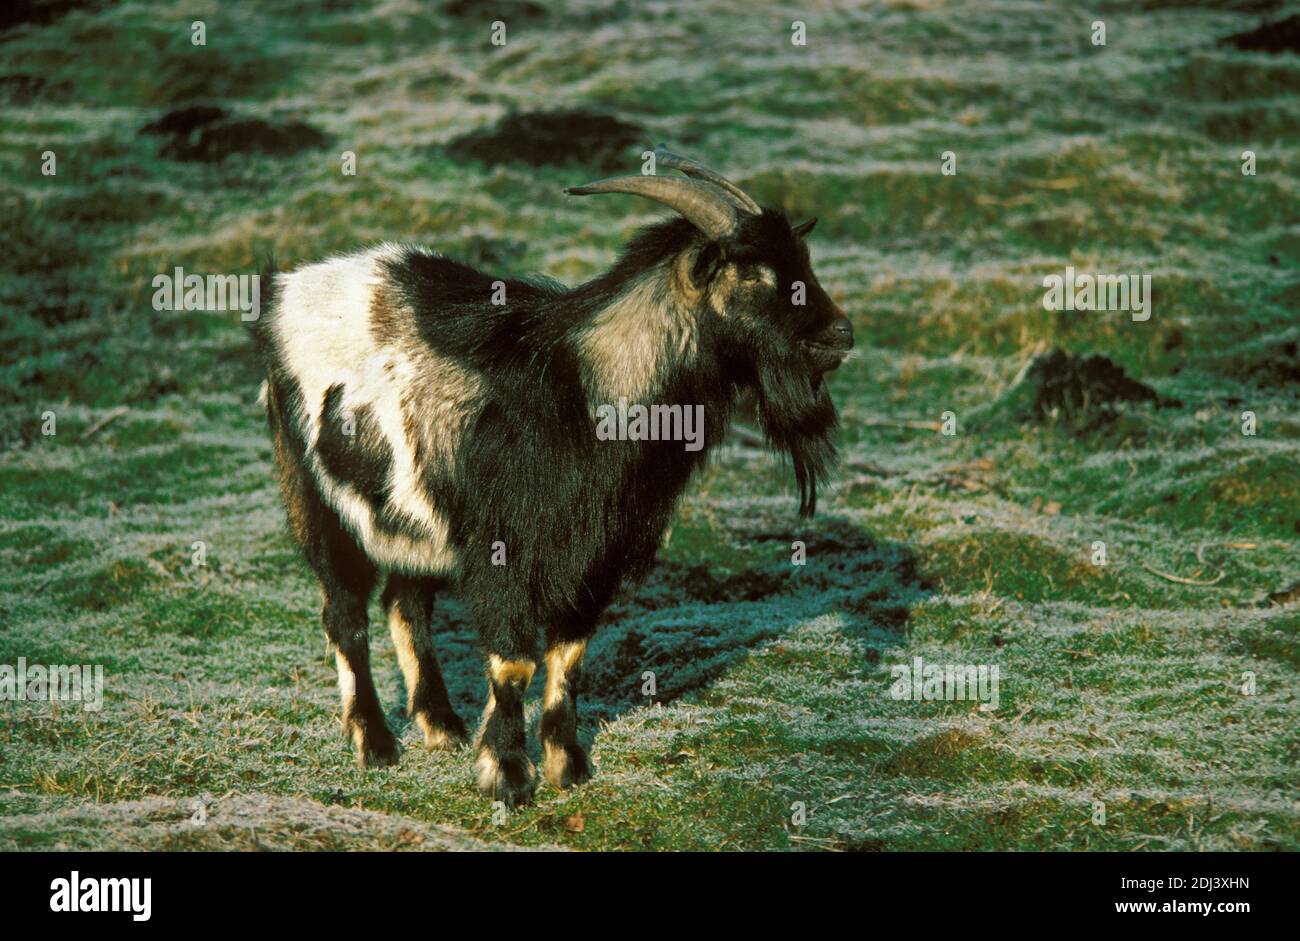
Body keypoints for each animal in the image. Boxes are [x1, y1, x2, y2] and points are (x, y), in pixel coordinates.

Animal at [251, 147, 854, 806]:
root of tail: (283, 293)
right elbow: (514, 662)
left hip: (413, 514)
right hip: (320, 499)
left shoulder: (593, 556)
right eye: (753, 275)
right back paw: (376, 743)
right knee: (345, 613)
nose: (839, 335)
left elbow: (569, 655)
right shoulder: (507, 553)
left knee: (405, 604)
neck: (592, 389)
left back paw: (441, 726)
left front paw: (568, 765)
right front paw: (508, 775)